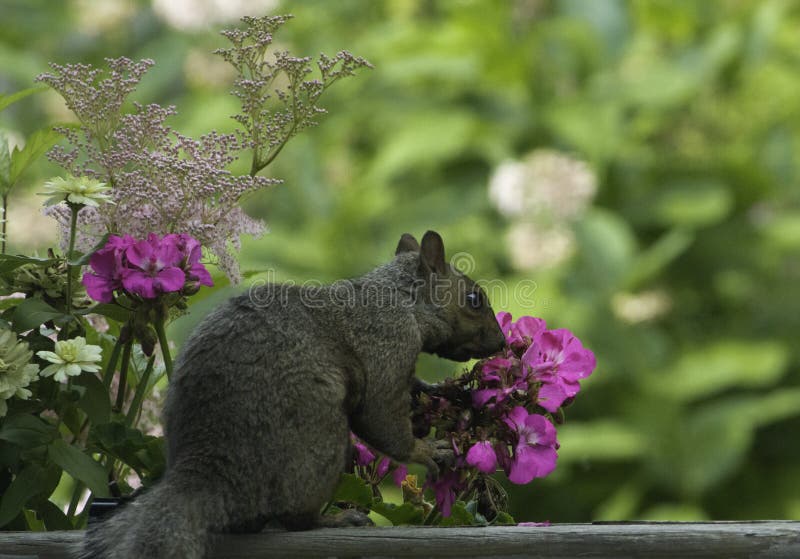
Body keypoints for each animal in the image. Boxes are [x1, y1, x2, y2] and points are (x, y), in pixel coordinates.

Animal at [78, 230, 506, 558]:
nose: (501, 343)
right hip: (320, 444)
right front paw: (426, 450)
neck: (398, 299)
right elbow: (381, 417)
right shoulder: (388, 343)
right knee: (296, 518)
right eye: (474, 300)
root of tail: (209, 467)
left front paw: (433, 389)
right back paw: (334, 519)